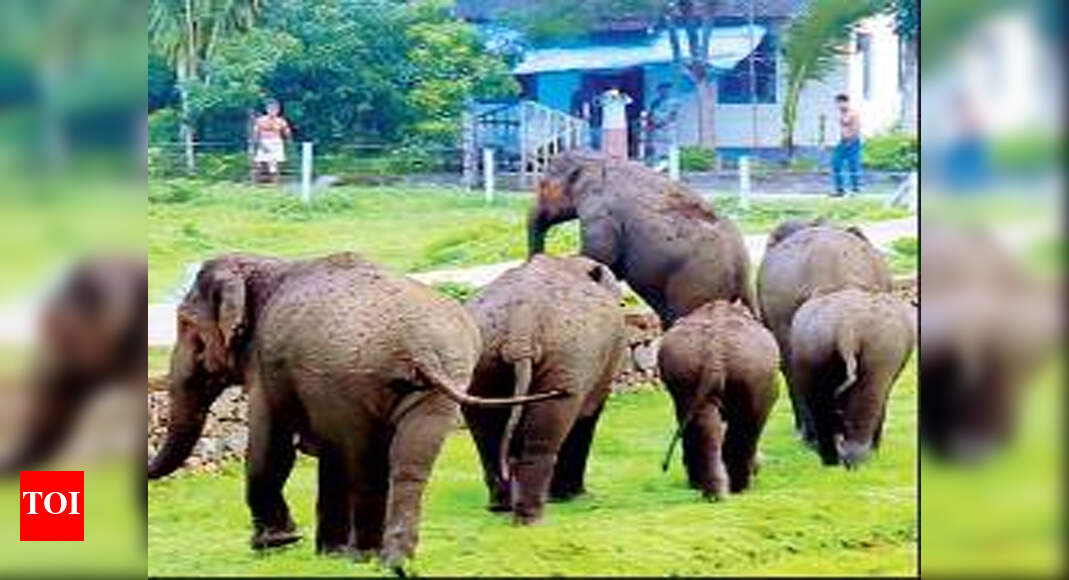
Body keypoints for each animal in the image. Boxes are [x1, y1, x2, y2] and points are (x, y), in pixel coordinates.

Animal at [146, 252, 562, 568]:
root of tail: (415, 345)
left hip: (351, 375)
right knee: (407, 462)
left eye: (187, 326)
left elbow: (271, 448)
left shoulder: (265, 365)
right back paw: (395, 560)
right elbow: (322, 453)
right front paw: (324, 554)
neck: (264, 265)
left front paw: (278, 544)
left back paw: (365, 556)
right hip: (445, 376)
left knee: (363, 457)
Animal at [462, 254, 626, 524]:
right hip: (567, 352)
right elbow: (588, 414)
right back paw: (531, 518)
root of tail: (522, 320)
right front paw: (572, 497)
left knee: (485, 427)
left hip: (482, 353)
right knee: (550, 422)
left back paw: (501, 507)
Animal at [527, 149, 754, 329]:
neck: (599, 159)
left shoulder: (602, 210)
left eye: (542, 185)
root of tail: (743, 271)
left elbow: (600, 253)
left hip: (698, 282)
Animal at [658, 299, 779, 499]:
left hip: (686, 367)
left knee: (702, 422)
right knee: (750, 421)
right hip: (753, 370)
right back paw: (739, 489)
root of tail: (714, 350)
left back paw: (713, 494)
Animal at [789, 288, 915, 468]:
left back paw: (833, 462)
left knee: (820, 403)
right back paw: (855, 460)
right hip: (879, 351)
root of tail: (847, 330)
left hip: (813, 349)